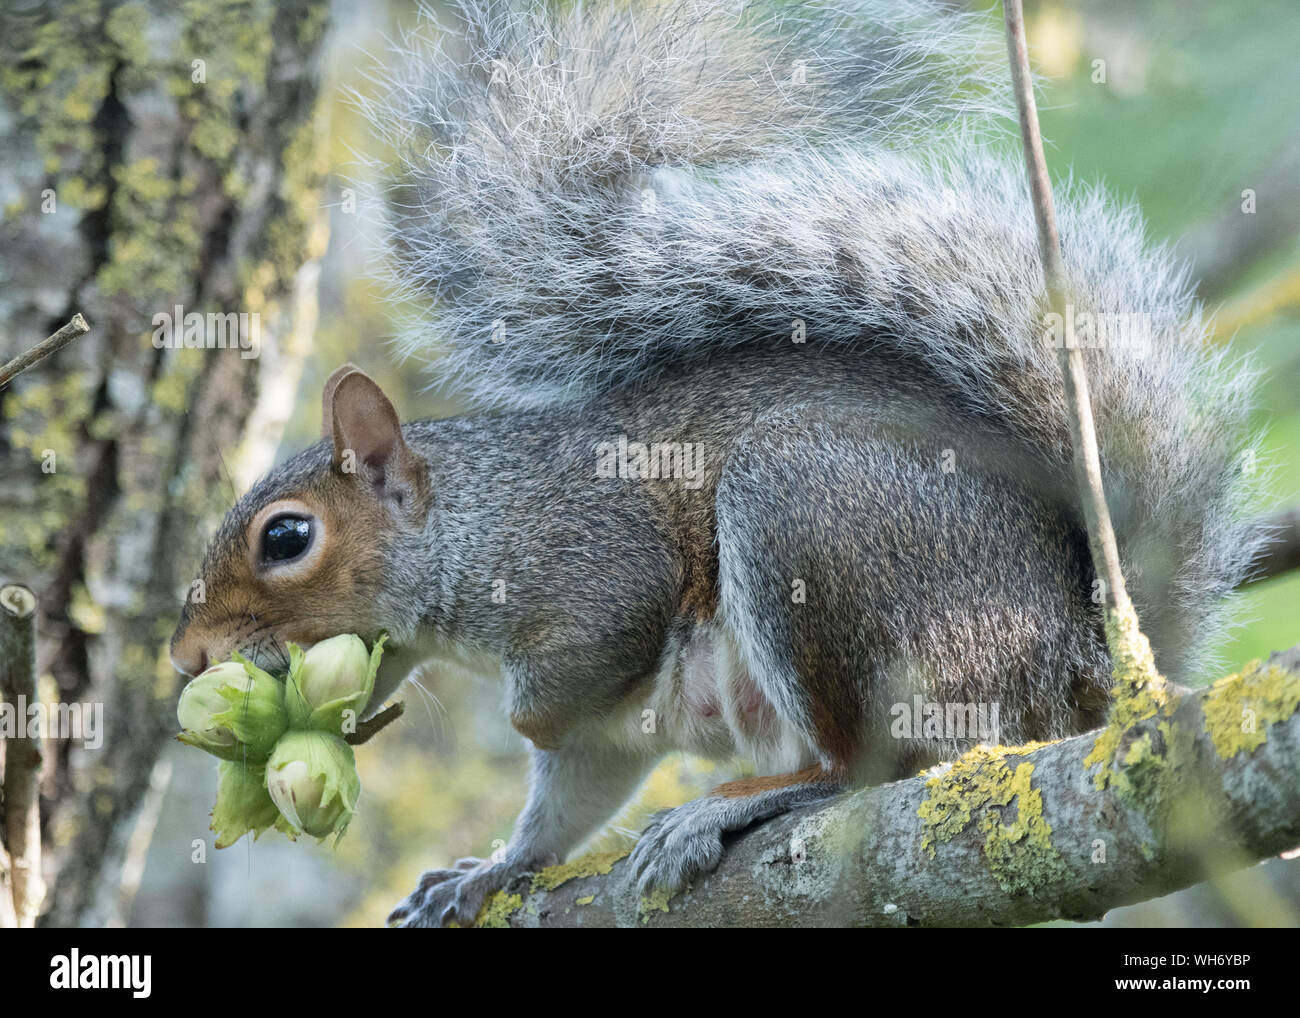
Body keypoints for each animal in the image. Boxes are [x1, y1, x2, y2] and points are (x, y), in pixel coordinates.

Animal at [169, 0, 1263, 926]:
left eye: (287, 538)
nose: (185, 659)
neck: (474, 514)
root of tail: (1084, 668)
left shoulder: (590, 569)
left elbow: (572, 681)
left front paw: (521, 728)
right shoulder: (597, 738)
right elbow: (570, 794)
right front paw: (489, 869)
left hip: (804, 514)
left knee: (881, 763)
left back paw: (734, 804)